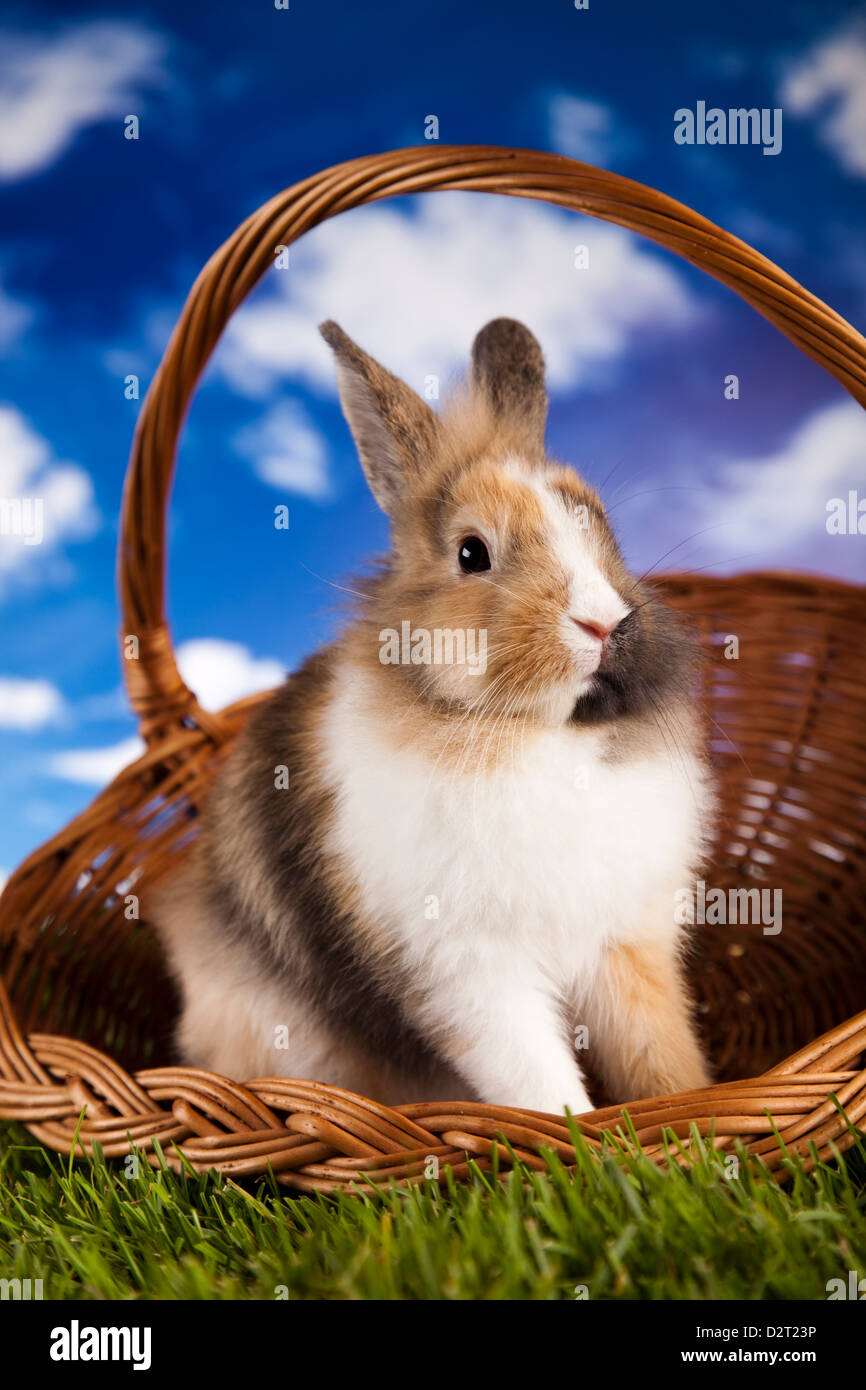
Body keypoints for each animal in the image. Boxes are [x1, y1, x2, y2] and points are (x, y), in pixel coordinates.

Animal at [150, 316, 715, 1115]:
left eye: (606, 530)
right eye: (472, 553)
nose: (603, 622)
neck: (537, 735)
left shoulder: (627, 946)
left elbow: (656, 1053)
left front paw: (692, 1111)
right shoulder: (470, 977)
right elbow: (536, 1080)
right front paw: (582, 1136)